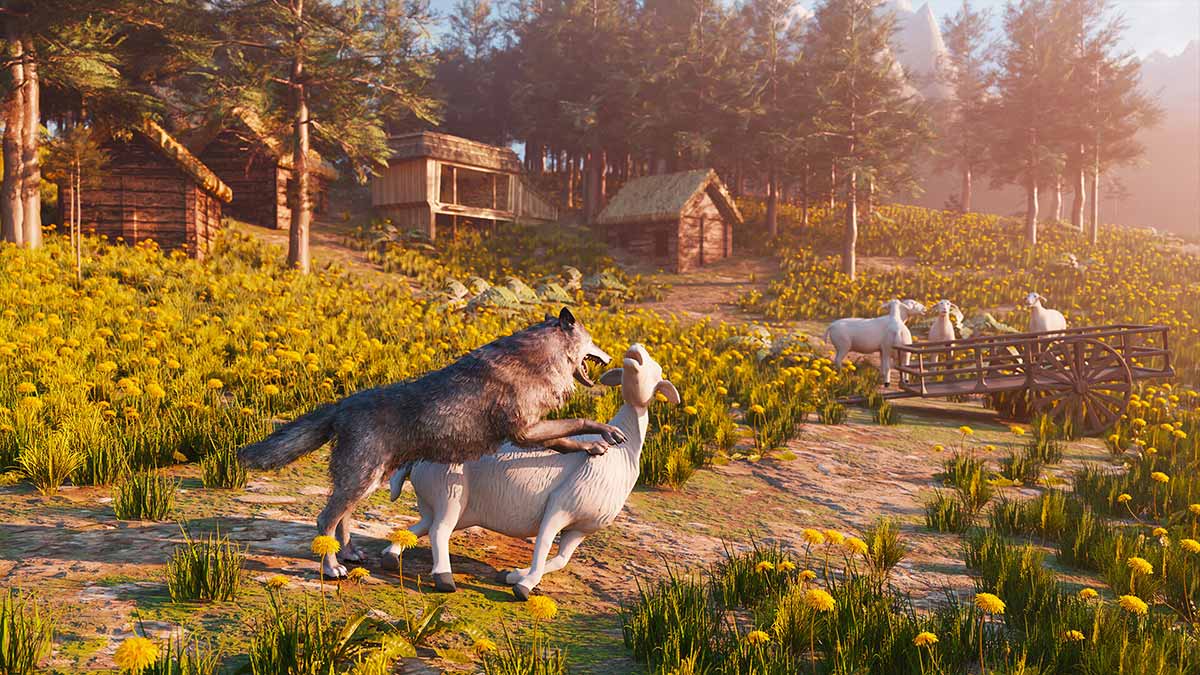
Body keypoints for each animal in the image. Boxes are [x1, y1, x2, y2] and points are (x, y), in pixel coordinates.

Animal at [237, 307, 626, 578]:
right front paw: (605, 434)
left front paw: (594, 446)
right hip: (362, 480)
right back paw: (333, 568)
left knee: (341, 518)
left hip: (368, 482)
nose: (611, 356)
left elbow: (568, 440)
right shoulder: (526, 432)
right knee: (324, 520)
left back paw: (348, 553)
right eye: (594, 340)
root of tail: (343, 404)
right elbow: (578, 423)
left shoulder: (530, 432)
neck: (538, 358)